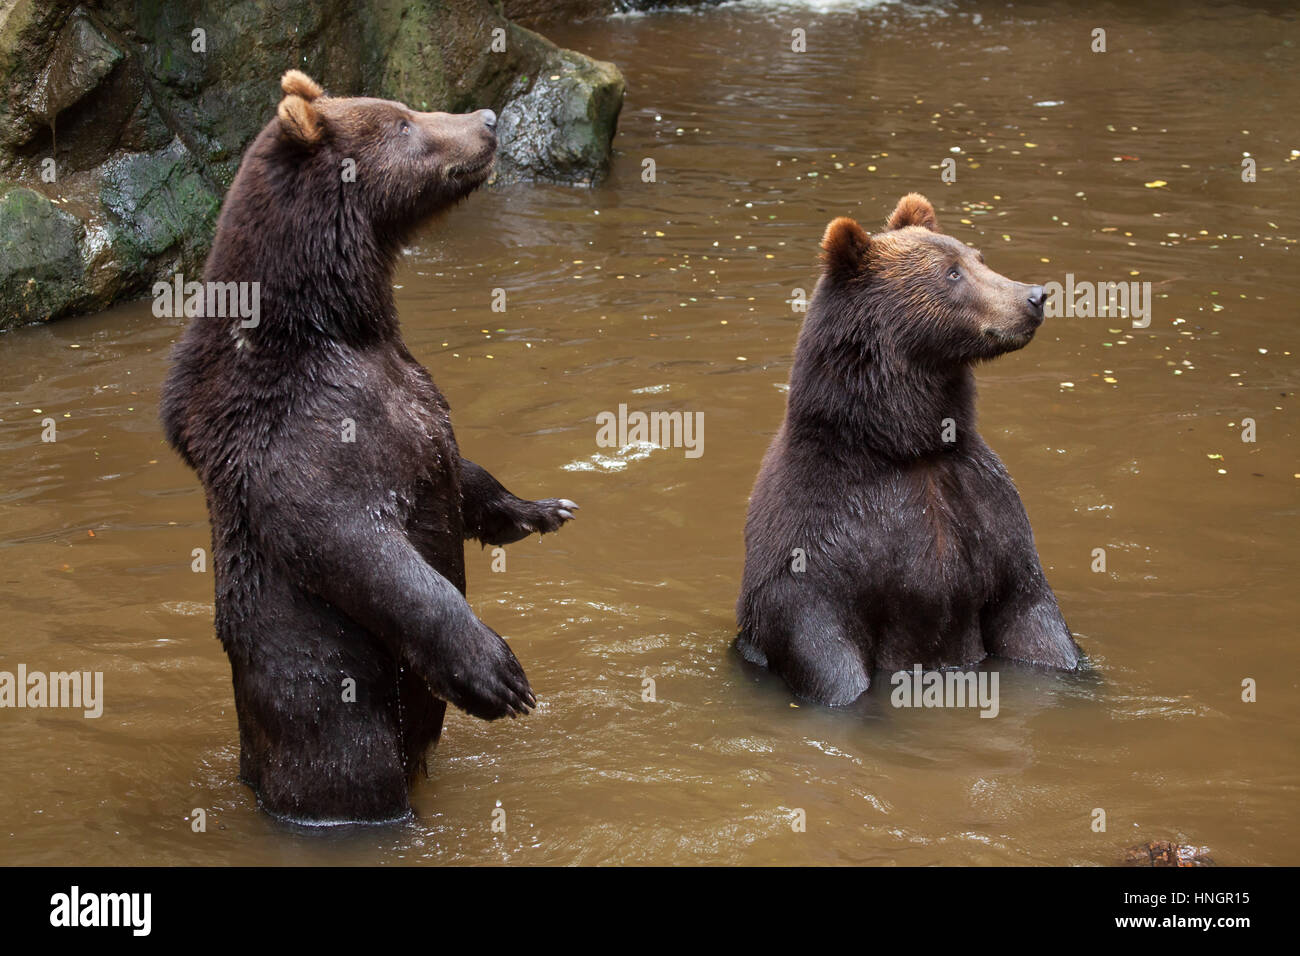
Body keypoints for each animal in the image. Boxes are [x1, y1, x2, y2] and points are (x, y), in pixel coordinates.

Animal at [160, 70, 577, 824]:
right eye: (404, 123)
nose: (487, 118)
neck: (337, 322)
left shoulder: (408, 390)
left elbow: (452, 460)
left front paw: (536, 509)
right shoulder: (302, 427)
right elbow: (349, 537)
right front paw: (500, 673)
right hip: (326, 702)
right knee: (350, 768)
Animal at [736, 193, 1081, 706]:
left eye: (978, 257)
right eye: (951, 273)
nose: (1034, 296)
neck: (906, 448)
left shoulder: (984, 507)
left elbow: (1031, 610)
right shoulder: (819, 539)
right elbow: (823, 646)